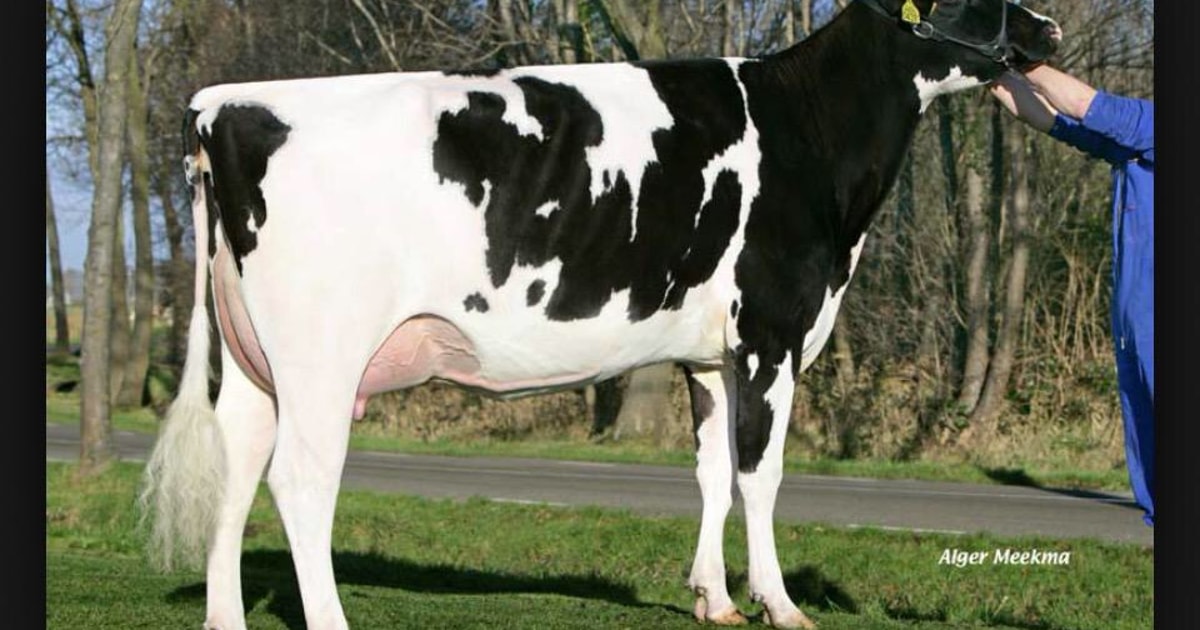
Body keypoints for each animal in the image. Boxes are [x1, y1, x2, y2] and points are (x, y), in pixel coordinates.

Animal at [140, 1, 1061, 628]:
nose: (1050, 29)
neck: (811, 130)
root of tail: (222, 103)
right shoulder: (769, 336)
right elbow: (759, 475)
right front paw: (779, 602)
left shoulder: (708, 354)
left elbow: (710, 474)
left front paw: (714, 598)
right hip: (321, 356)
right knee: (299, 479)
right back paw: (329, 619)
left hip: (257, 360)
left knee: (237, 460)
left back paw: (225, 617)